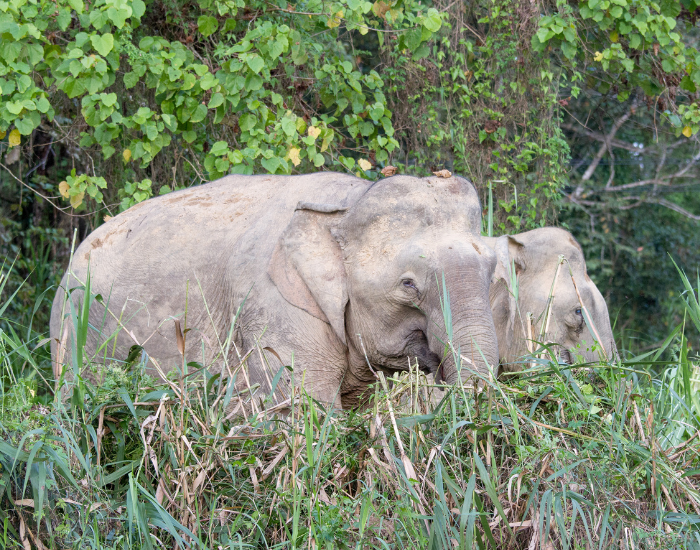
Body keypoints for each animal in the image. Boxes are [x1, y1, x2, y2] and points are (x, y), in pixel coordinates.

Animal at [50, 172, 499, 408]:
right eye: (408, 285)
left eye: (493, 269)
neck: (350, 199)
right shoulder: (272, 307)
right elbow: (310, 418)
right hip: (70, 337)